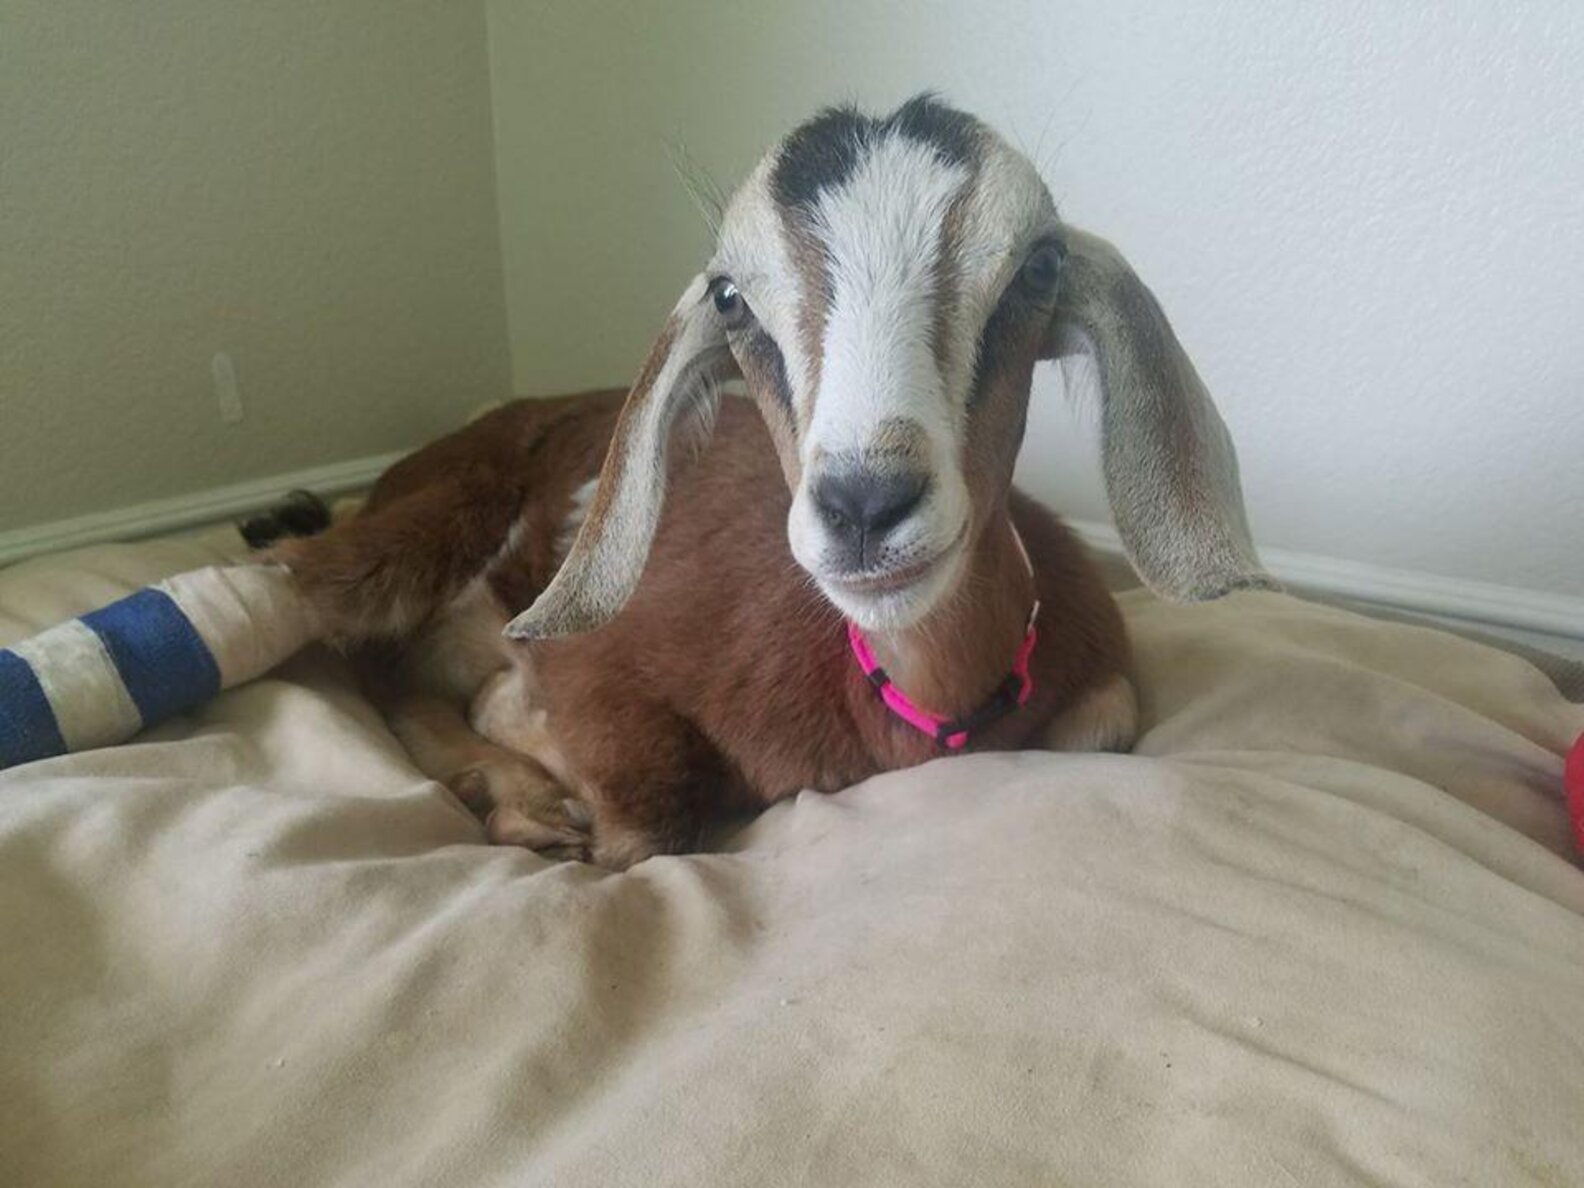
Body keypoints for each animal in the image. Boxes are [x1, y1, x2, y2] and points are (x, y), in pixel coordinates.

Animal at [278, 96, 1271, 869]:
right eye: (729, 297)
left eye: (1039, 264)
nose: (864, 503)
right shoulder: (596, 665)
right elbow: (643, 822)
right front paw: (532, 758)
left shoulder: (1099, 686)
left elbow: (1107, 715)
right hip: (412, 541)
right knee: (340, 632)